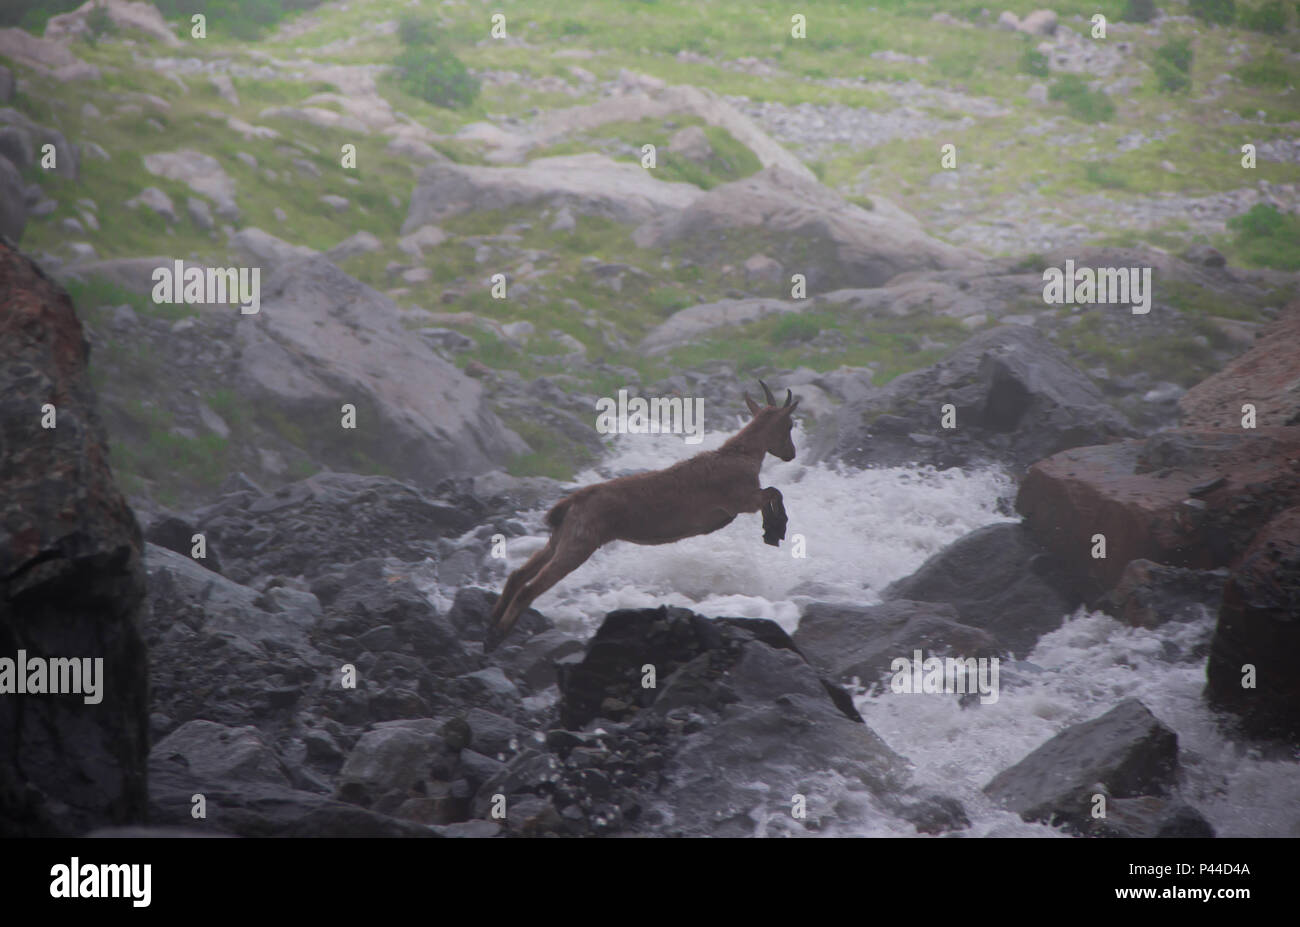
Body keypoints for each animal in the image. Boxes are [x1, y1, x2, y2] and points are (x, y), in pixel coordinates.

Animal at [483, 380, 799, 651]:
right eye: (790, 424)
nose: (792, 454)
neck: (741, 454)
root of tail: (573, 501)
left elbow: (773, 493)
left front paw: (772, 531)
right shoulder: (740, 499)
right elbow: (774, 492)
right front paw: (776, 529)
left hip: (561, 537)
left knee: (518, 574)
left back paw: (491, 626)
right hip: (580, 542)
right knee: (530, 587)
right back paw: (498, 636)